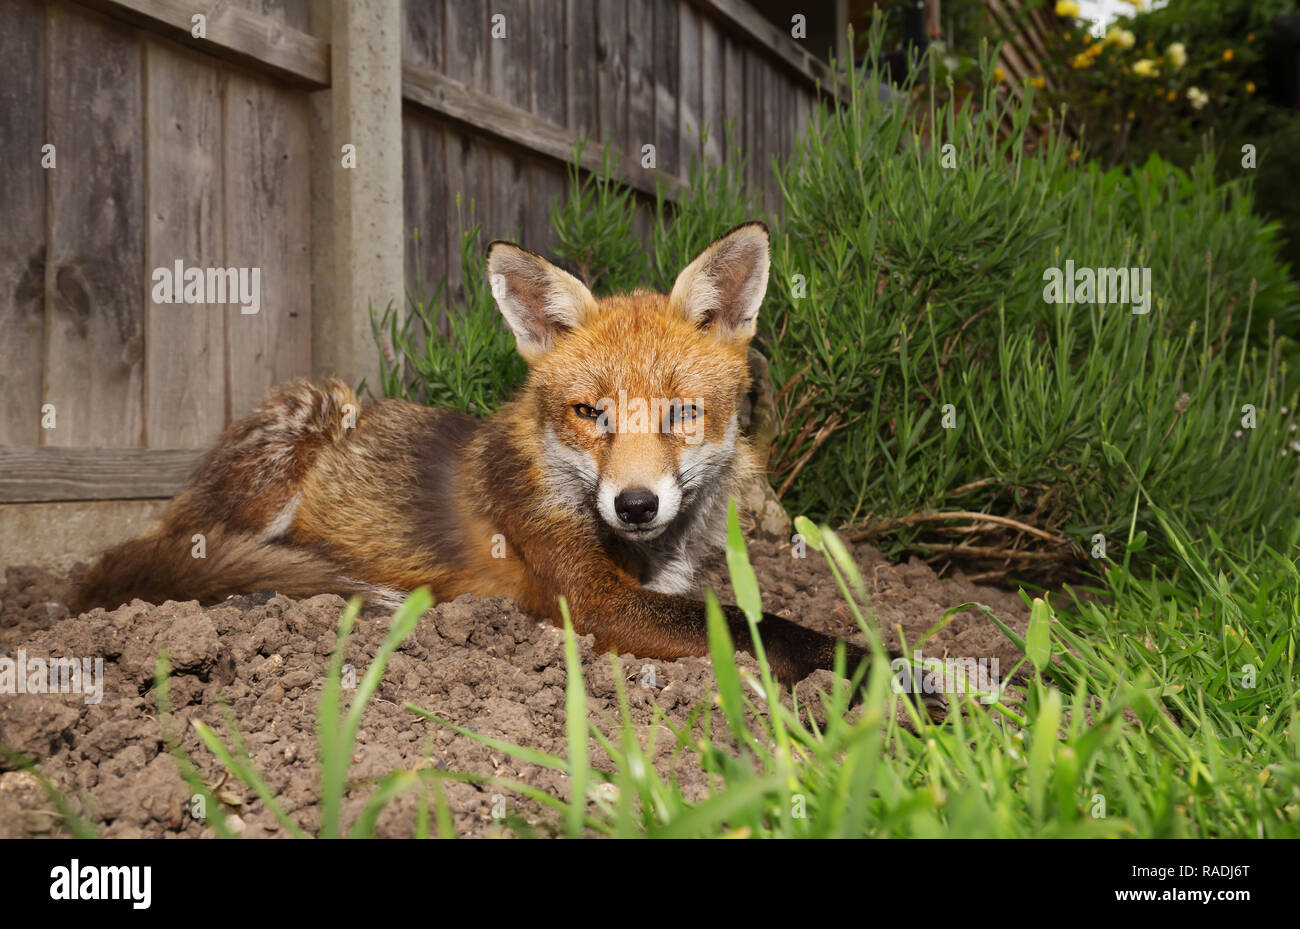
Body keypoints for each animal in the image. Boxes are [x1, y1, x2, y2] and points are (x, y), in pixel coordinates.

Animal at [72, 223, 889, 689]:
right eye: (589, 413)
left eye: (682, 413)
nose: (634, 505)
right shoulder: (592, 600)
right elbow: (776, 631)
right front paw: (889, 675)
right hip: (308, 422)